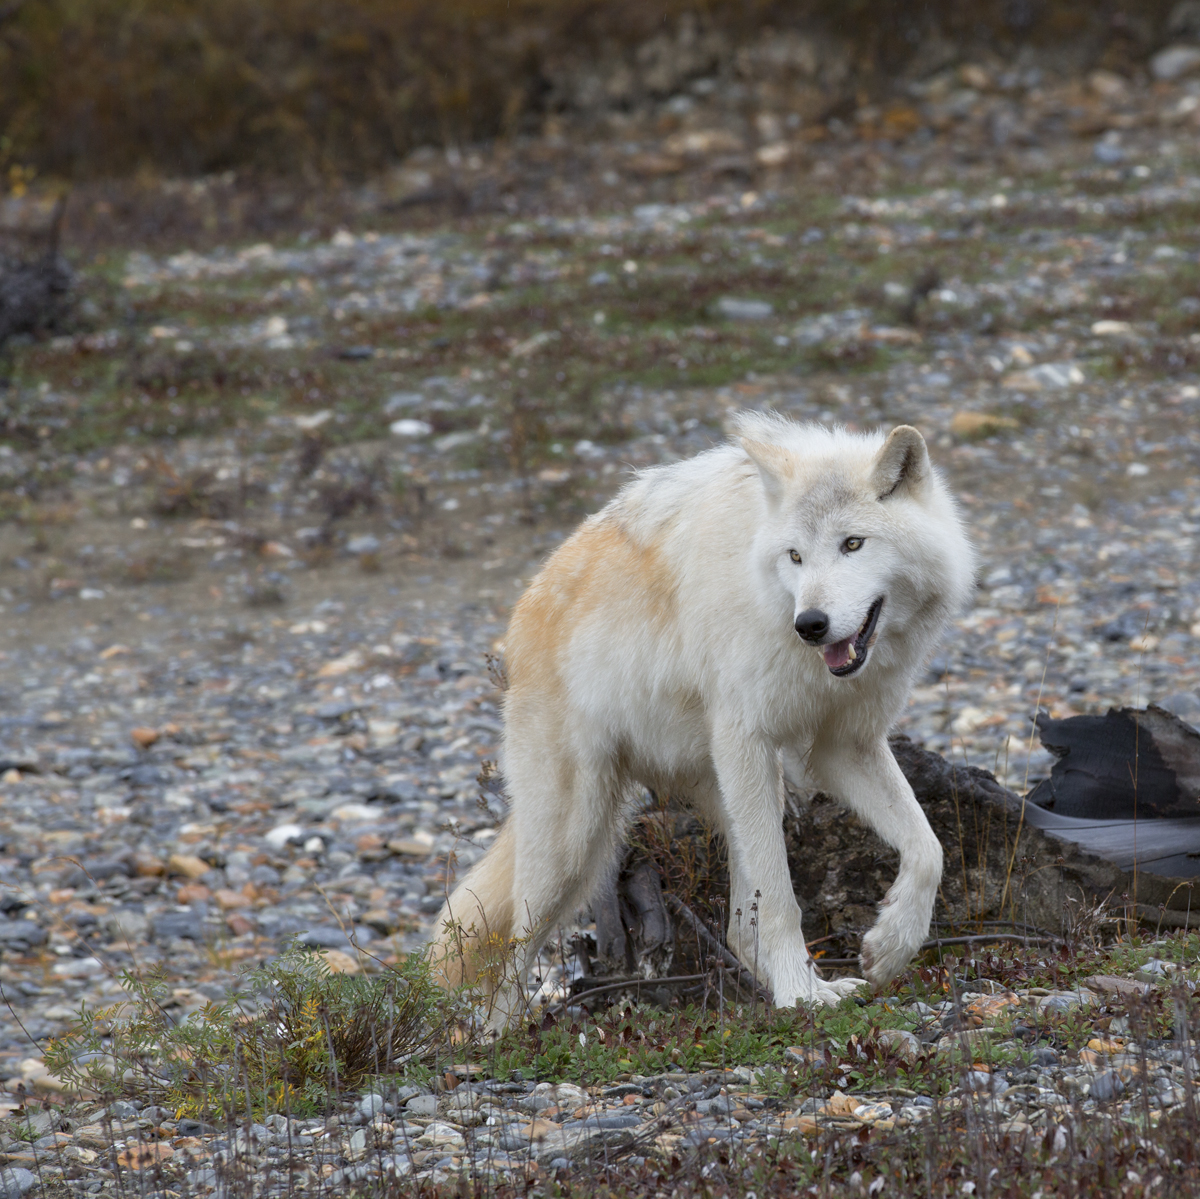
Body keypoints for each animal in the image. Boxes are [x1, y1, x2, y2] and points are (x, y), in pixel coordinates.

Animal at [431, 414, 975, 1024]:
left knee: (739, 928)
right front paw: (799, 998)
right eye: (795, 556)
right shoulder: (748, 739)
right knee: (508, 955)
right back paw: (500, 1036)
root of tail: (521, 615)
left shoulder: (843, 745)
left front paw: (889, 948)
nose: (810, 623)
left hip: (728, 796)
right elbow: (782, 900)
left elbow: (929, 850)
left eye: (852, 543)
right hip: (574, 843)